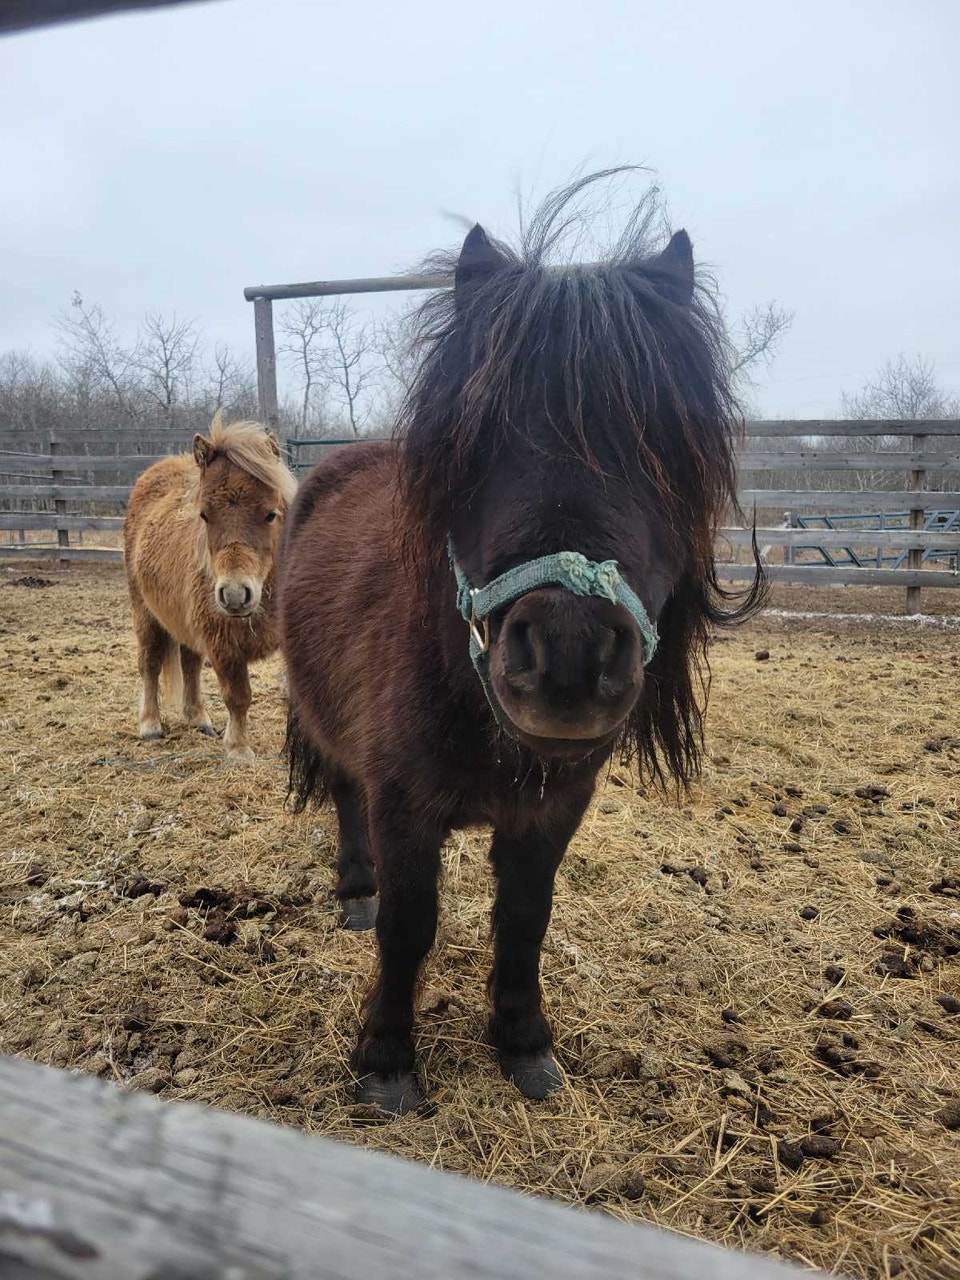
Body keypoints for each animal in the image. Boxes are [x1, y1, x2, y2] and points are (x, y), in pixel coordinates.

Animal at [123, 413, 297, 762]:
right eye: (204, 515)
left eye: (271, 514)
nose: (235, 595)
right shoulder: (223, 644)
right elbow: (238, 696)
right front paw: (239, 749)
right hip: (145, 614)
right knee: (149, 664)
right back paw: (150, 725)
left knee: (190, 664)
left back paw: (198, 719)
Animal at [279, 175, 764, 1115]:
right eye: (481, 439)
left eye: (663, 448)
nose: (569, 657)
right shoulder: (404, 806)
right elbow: (410, 925)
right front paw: (387, 1060)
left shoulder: (552, 809)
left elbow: (525, 920)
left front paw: (523, 1044)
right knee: (342, 793)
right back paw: (353, 891)